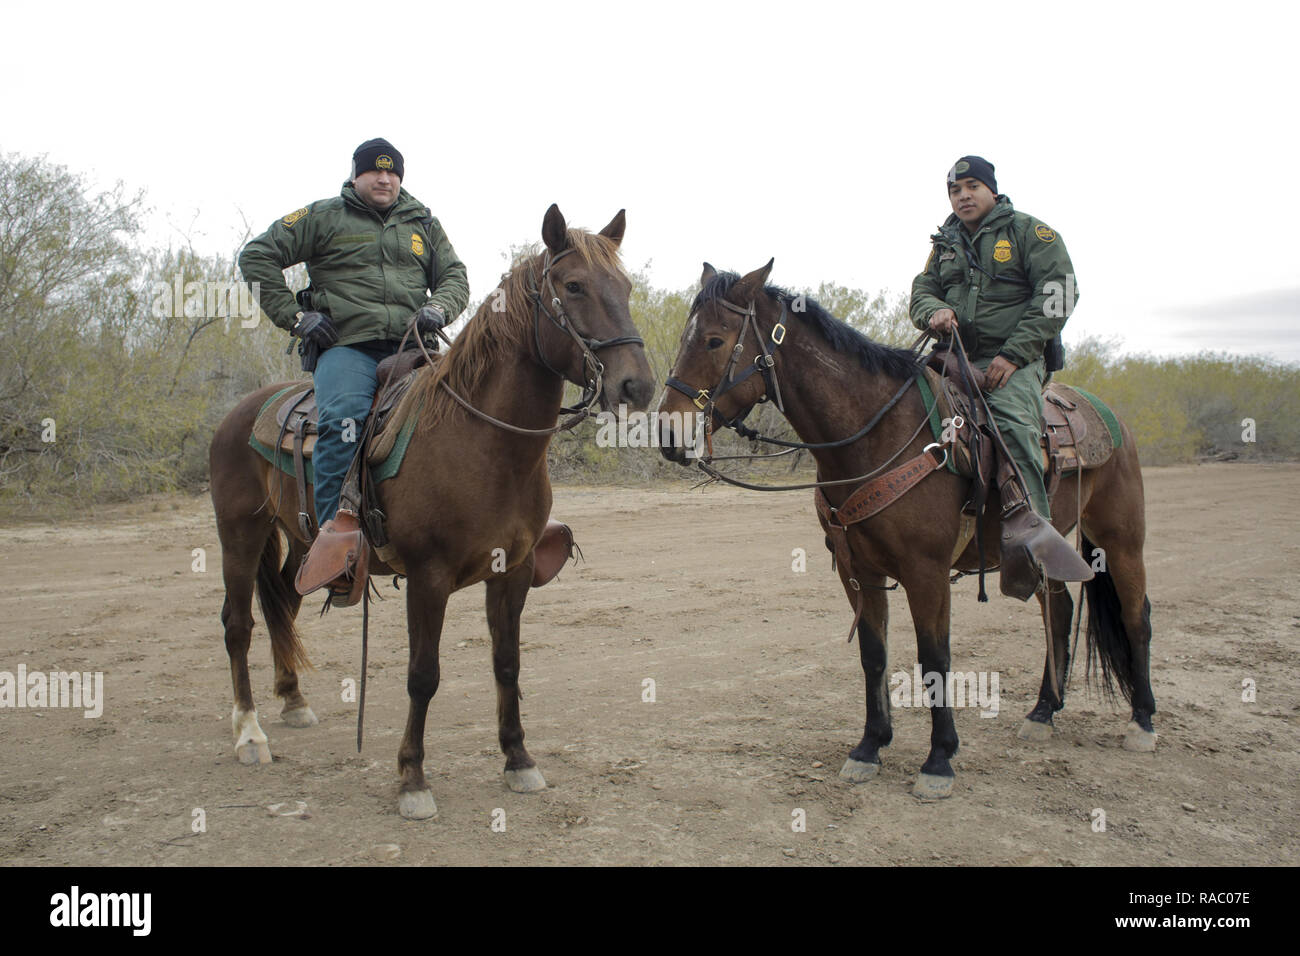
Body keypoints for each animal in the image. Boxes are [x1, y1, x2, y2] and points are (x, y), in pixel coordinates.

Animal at [208, 205, 655, 819]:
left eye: (626, 287)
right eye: (573, 286)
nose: (638, 384)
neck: (484, 442)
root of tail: (242, 411)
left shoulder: (512, 572)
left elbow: (507, 665)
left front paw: (519, 760)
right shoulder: (428, 577)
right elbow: (423, 676)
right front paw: (412, 779)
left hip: (301, 546)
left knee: (284, 605)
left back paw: (293, 701)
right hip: (239, 533)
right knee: (238, 624)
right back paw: (249, 734)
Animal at [656, 260, 1154, 800]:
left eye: (713, 340)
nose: (666, 433)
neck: (878, 435)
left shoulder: (926, 572)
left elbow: (934, 658)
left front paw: (939, 760)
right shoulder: (857, 571)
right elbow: (874, 654)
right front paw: (870, 747)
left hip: (1122, 541)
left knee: (1136, 616)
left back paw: (1142, 721)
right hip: (1050, 552)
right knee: (1059, 614)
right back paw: (1043, 712)